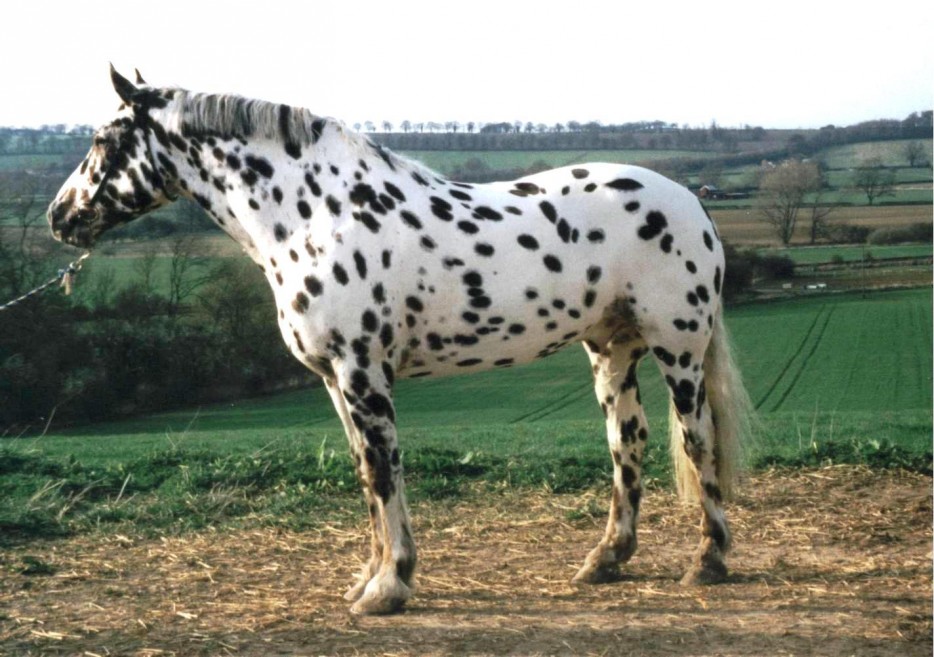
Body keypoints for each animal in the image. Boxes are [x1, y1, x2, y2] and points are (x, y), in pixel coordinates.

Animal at [48, 67, 753, 615]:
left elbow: (384, 471)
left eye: (102, 138)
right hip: (612, 351)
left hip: (678, 350)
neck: (311, 215)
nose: (60, 217)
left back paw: (708, 560)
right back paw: (605, 559)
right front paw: (370, 576)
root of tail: (692, 200)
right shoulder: (335, 381)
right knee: (626, 444)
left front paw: (389, 587)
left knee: (698, 440)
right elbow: (366, 472)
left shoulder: (361, 372)